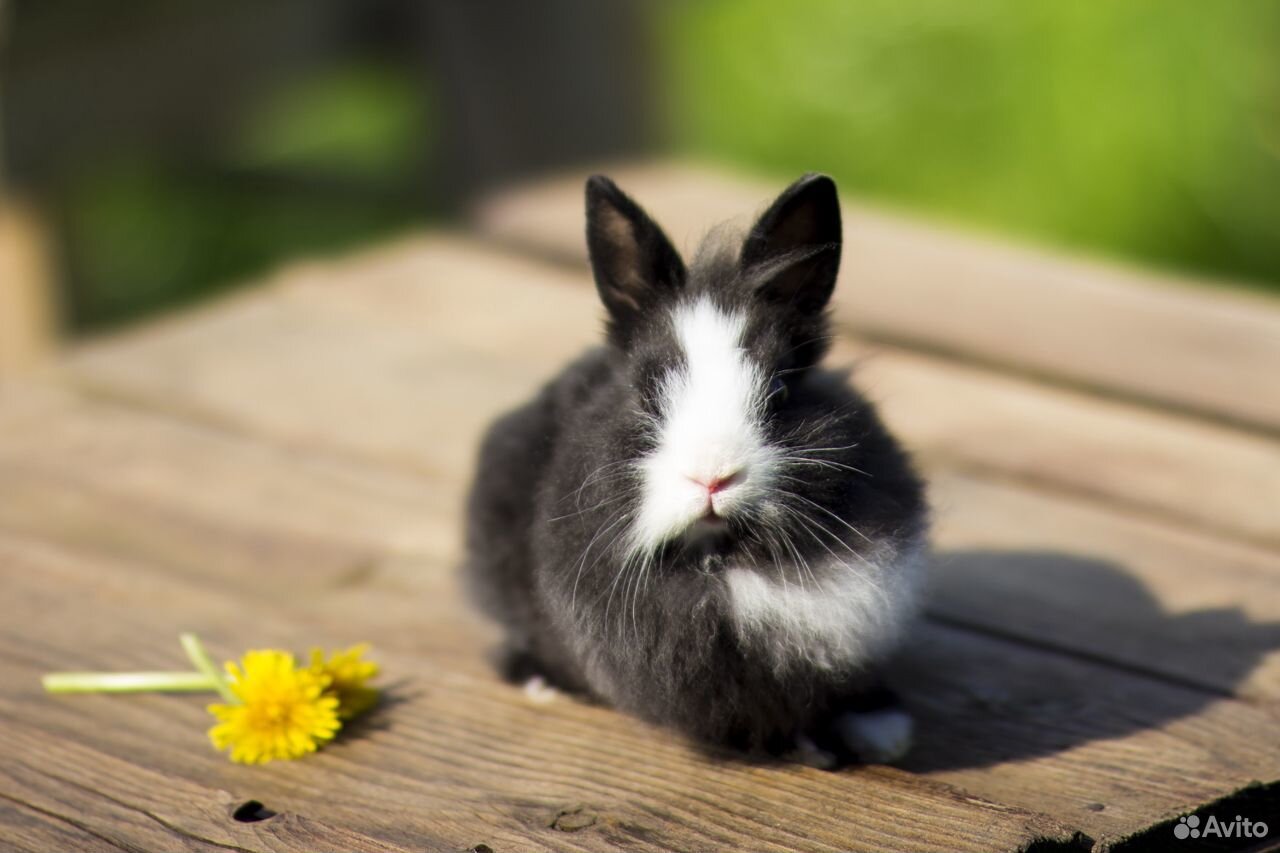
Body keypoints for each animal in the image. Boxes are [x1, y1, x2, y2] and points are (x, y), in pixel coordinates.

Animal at [463, 173, 929, 767]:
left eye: (779, 391)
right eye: (645, 395)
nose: (713, 478)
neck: (721, 561)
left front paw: (882, 728)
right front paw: (806, 744)